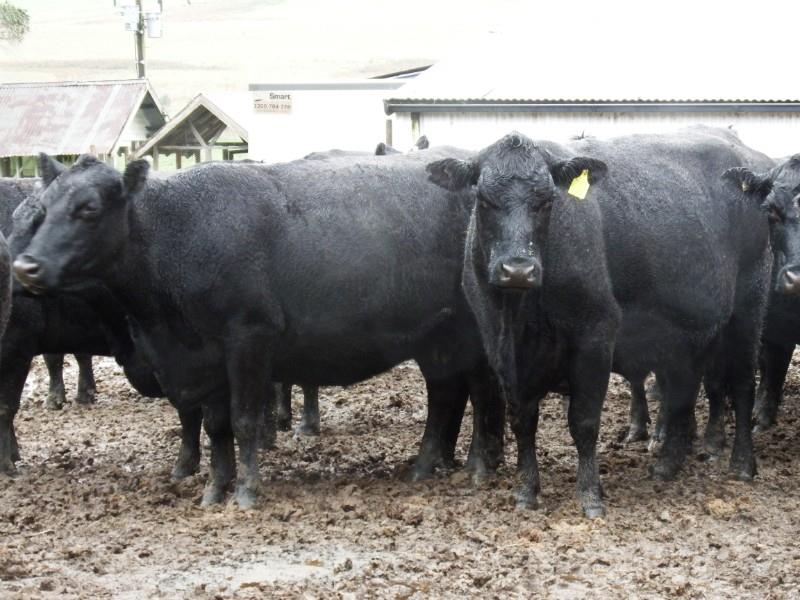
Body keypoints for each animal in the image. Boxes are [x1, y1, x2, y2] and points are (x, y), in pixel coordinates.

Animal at [14, 149, 503, 508]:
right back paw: (424, 466)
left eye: (88, 209)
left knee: (479, 391)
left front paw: (247, 491)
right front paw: (216, 488)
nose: (25, 266)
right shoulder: (206, 358)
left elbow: (245, 420)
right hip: (435, 337)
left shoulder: (248, 337)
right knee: (444, 394)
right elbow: (216, 425)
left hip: (471, 332)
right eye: (43, 209)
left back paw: (479, 465)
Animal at [427, 127, 777, 517]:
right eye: (484, 200)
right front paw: (526, 491)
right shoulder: (501, 350)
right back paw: (668, 464)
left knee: (743, 386)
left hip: (748, 308)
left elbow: (584, 422)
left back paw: (742, 464)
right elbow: (522, 420)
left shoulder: (595, 337)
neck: (524, 319)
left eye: (547, 200)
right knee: (683, 391)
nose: (518, 269)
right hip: (688, 333)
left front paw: (590, 494)